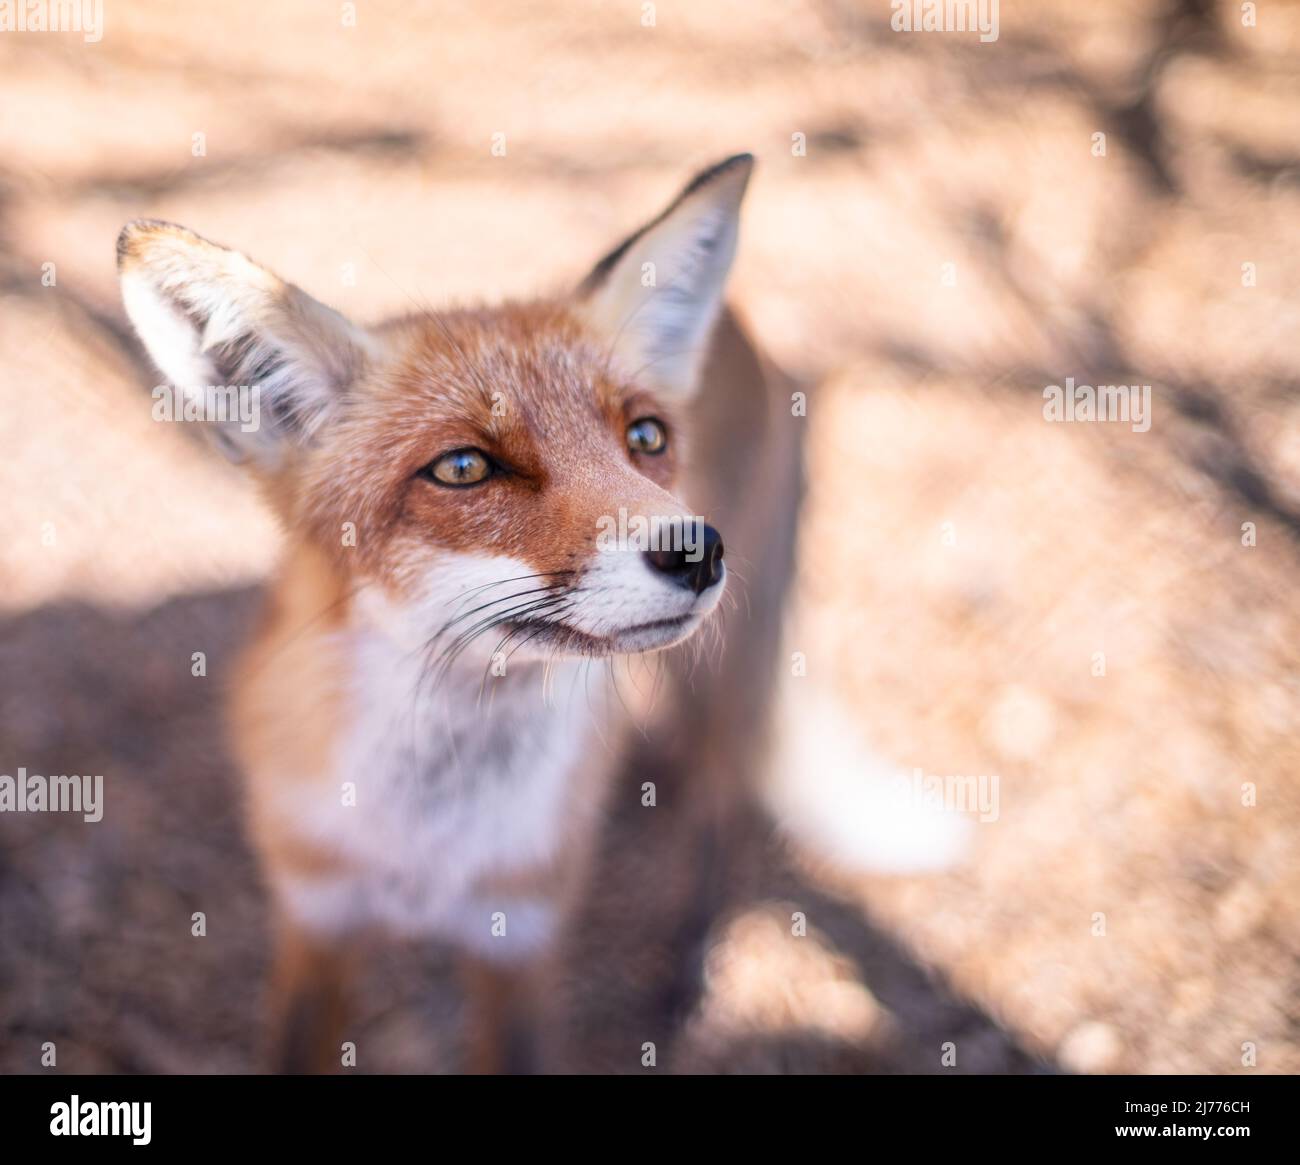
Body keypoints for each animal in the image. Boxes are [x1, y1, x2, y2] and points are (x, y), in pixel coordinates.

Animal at [115, 153, 802, 1073]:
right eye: (466, 466)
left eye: (646, 438)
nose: (697, 549)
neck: (429, 844)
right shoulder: (316, 919)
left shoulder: (519, 941)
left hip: (718, 684)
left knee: (723, 808)